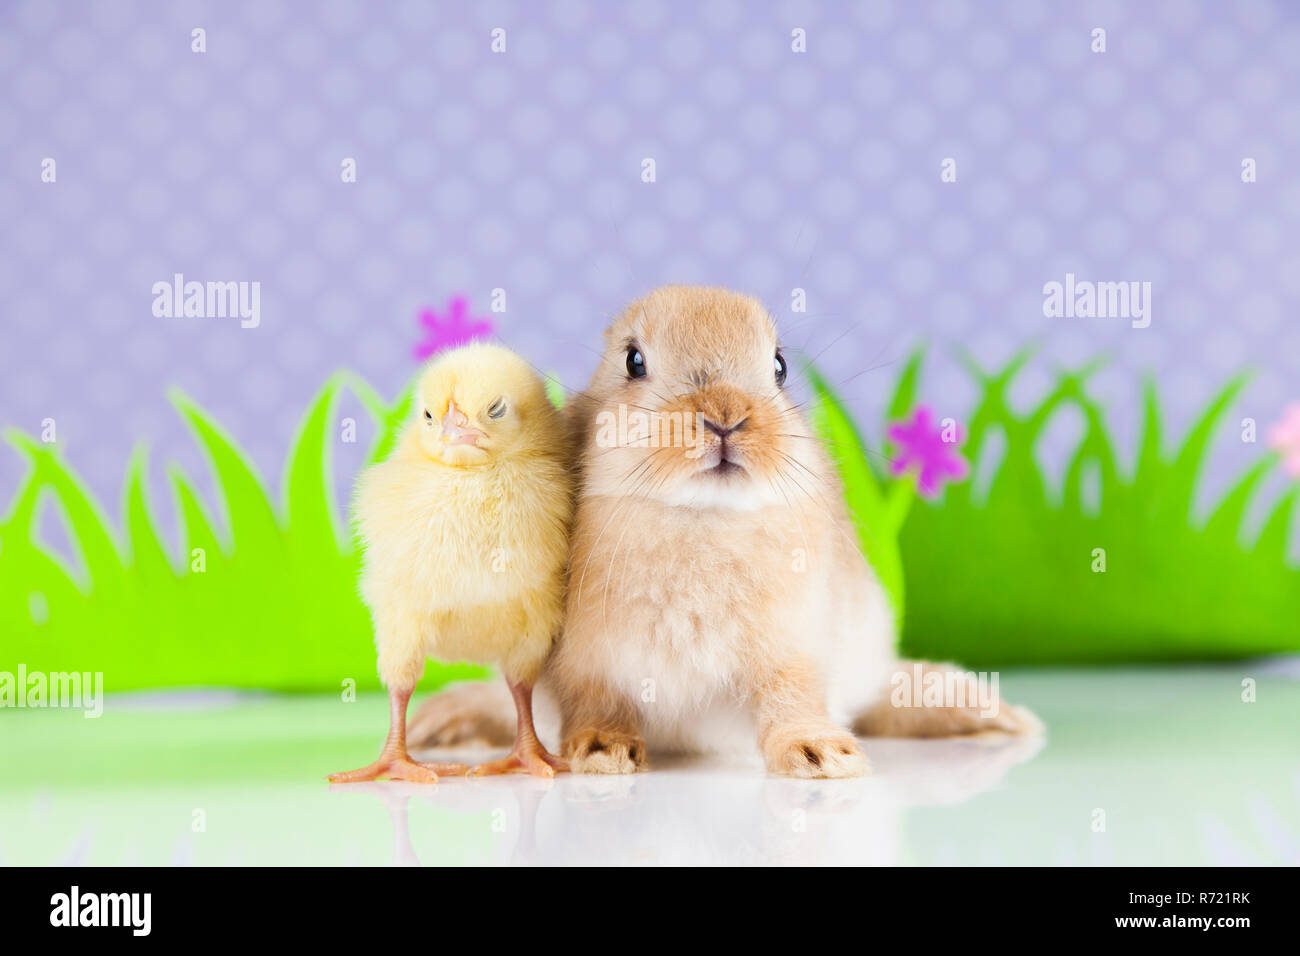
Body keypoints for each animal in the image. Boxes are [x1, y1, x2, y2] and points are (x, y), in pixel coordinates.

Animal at [410, 286, 1040, 777]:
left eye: (780, 367)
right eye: (633, 361)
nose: (725, 416)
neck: (700, 516)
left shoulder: (793, 650)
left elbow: (792, 701)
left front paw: (822, 757)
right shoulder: (584, 666)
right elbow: (596, 705)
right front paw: (603, 752)